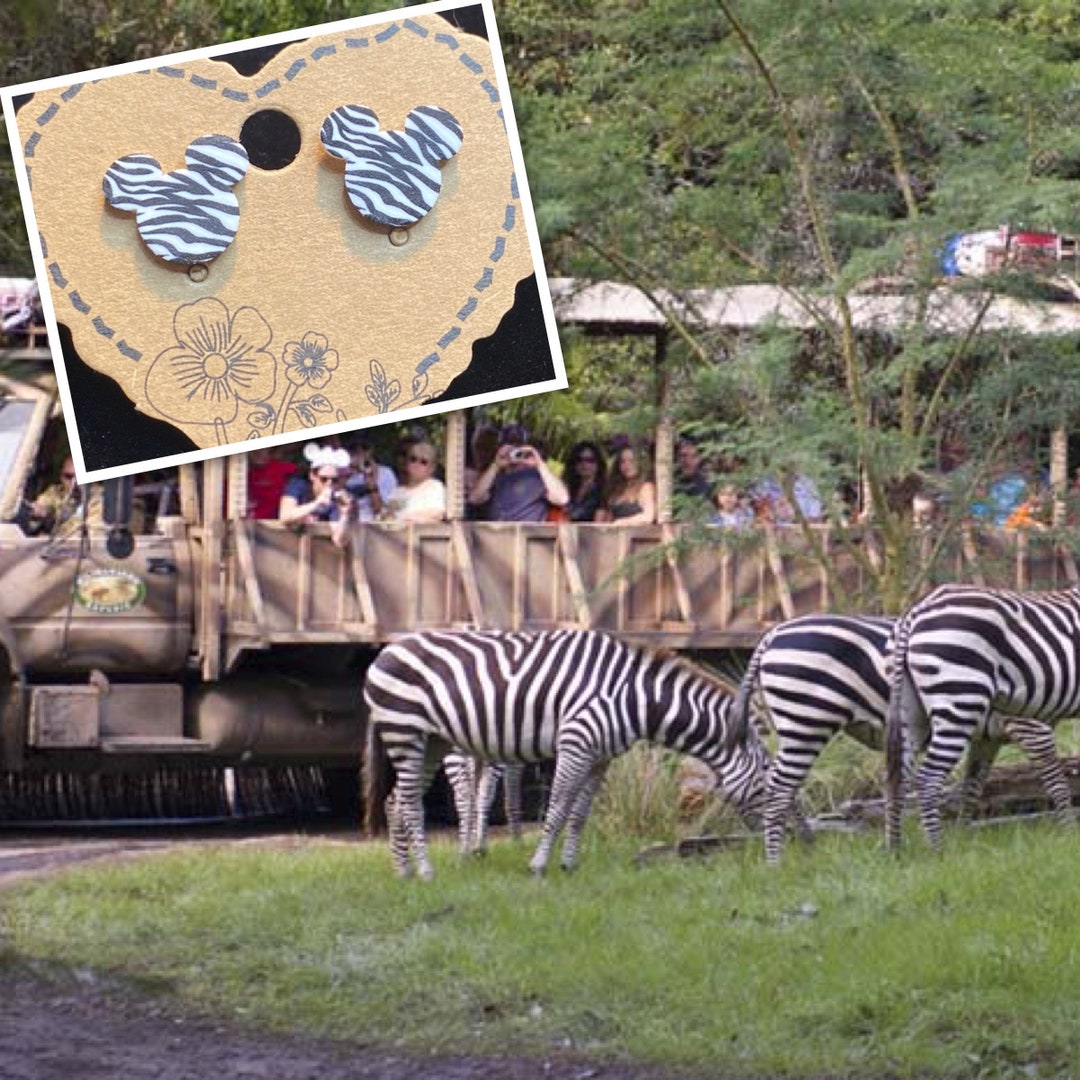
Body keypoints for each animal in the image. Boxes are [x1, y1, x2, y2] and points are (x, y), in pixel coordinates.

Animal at [363, 629, 768, 879]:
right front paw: (539, 865)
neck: (631, 696)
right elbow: (557, 807)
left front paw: (569, 865)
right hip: (406, 732)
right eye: (766, 783)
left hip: (430, 741)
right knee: (410, 804)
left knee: (394, 801)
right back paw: (426, 872)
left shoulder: (600, 758)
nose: (766, 846)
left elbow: (578, 815)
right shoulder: (576, 742)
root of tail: (388, 649)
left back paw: (403, 872)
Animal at [734, 613, 1070, 864]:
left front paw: (964, 838)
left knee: (777, 784)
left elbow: (971, 790)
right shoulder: (1031, 725)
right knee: (779, 788)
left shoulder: (986, 738)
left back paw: (804, 846)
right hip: (807, 721)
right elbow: (1057, 780)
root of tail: (771, 635)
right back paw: (777, 863)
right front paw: (1071, 833)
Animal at [886, 583, 1080, 851]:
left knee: (899, 777)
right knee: (927, 779)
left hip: (911, 712)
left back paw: (896, 851)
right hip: (960, 698)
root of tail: (915, 612)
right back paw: (939, 852)